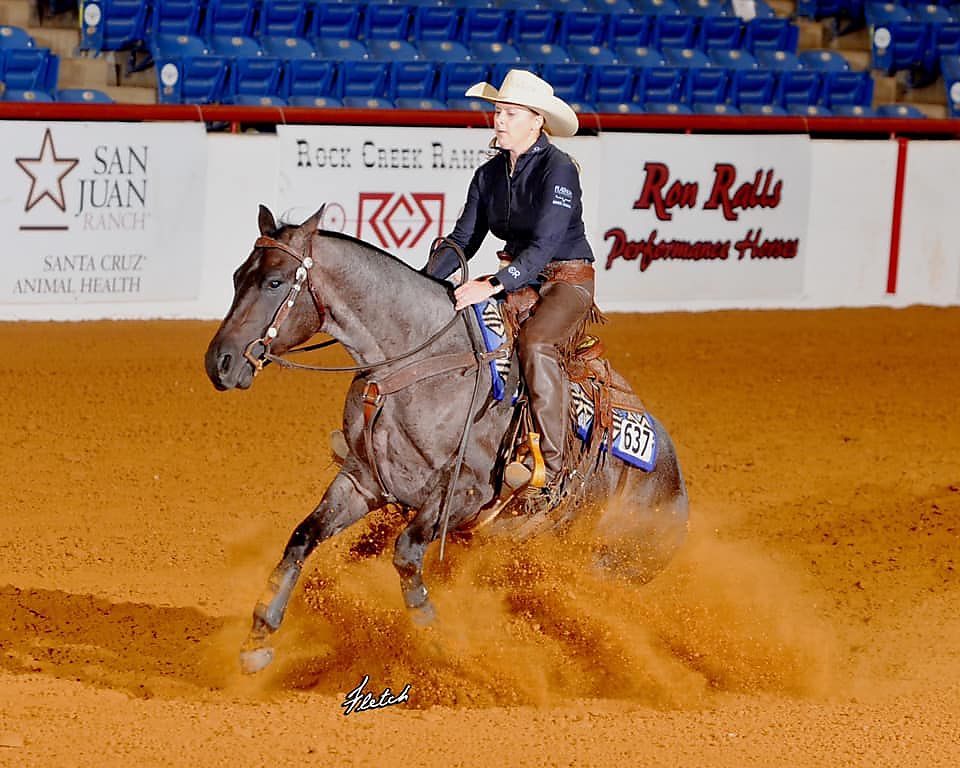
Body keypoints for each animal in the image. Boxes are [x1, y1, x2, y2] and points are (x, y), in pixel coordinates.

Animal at [204, 205, 689, 674]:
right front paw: (257, 640)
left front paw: (435, 637)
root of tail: (675, 487)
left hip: (606, 568)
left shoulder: (465, 494)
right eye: (236, 276)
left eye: (274, 282)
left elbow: (405, 553)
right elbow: (303, 537)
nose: (219, 362)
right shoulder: (363, 481)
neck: (420, 361)